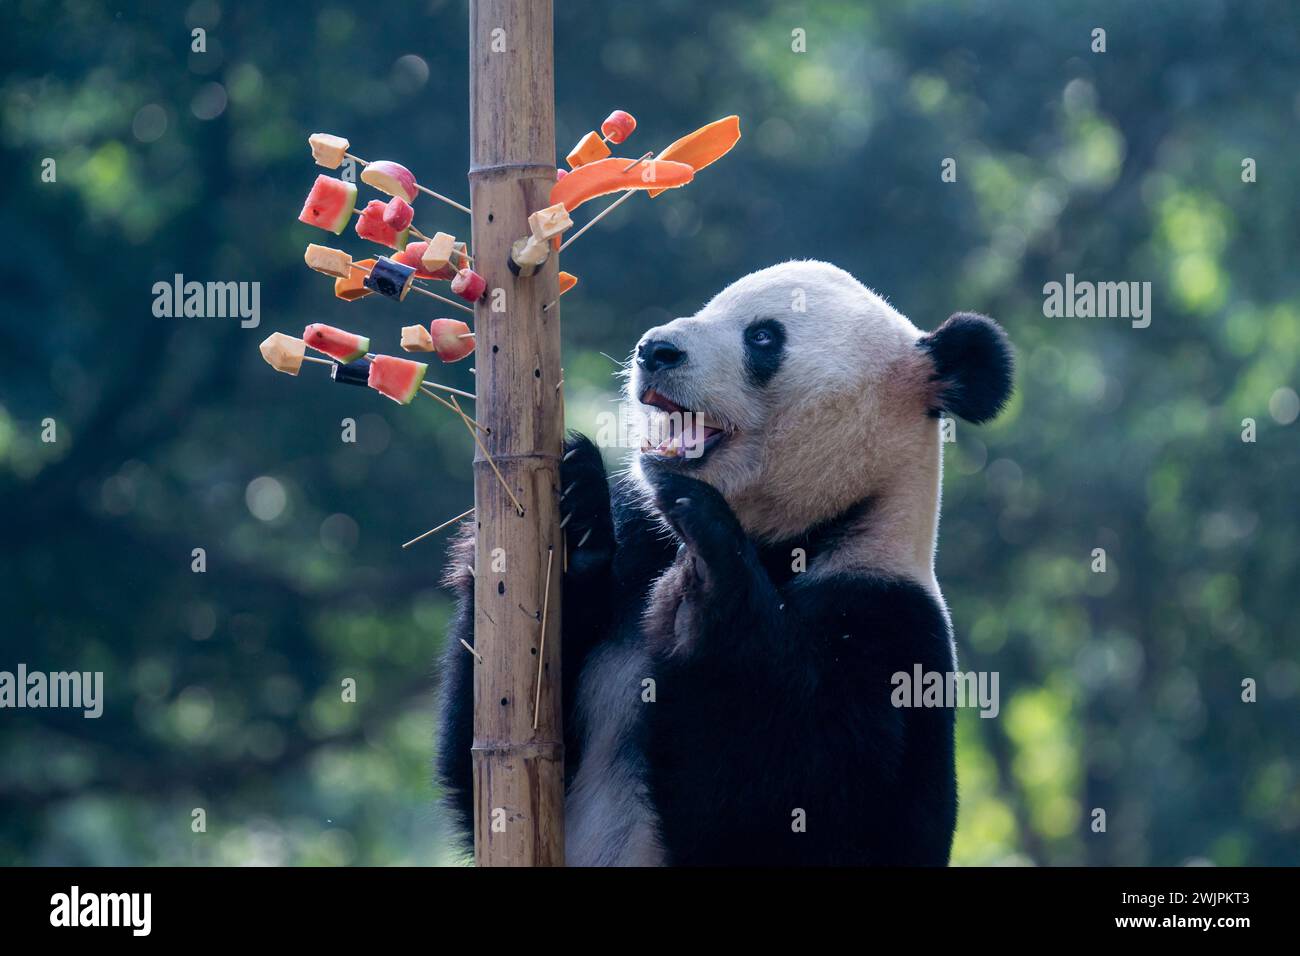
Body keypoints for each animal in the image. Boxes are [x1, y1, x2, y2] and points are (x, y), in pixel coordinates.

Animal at [436, 260, 1014, 866]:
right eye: (709, 309)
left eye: (762, 336)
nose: (655, 349)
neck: (795, 538)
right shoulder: (641, 546)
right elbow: (491, 776)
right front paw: (580, 502)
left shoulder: (889, 619)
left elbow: (821, 805)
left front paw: (705, 576)